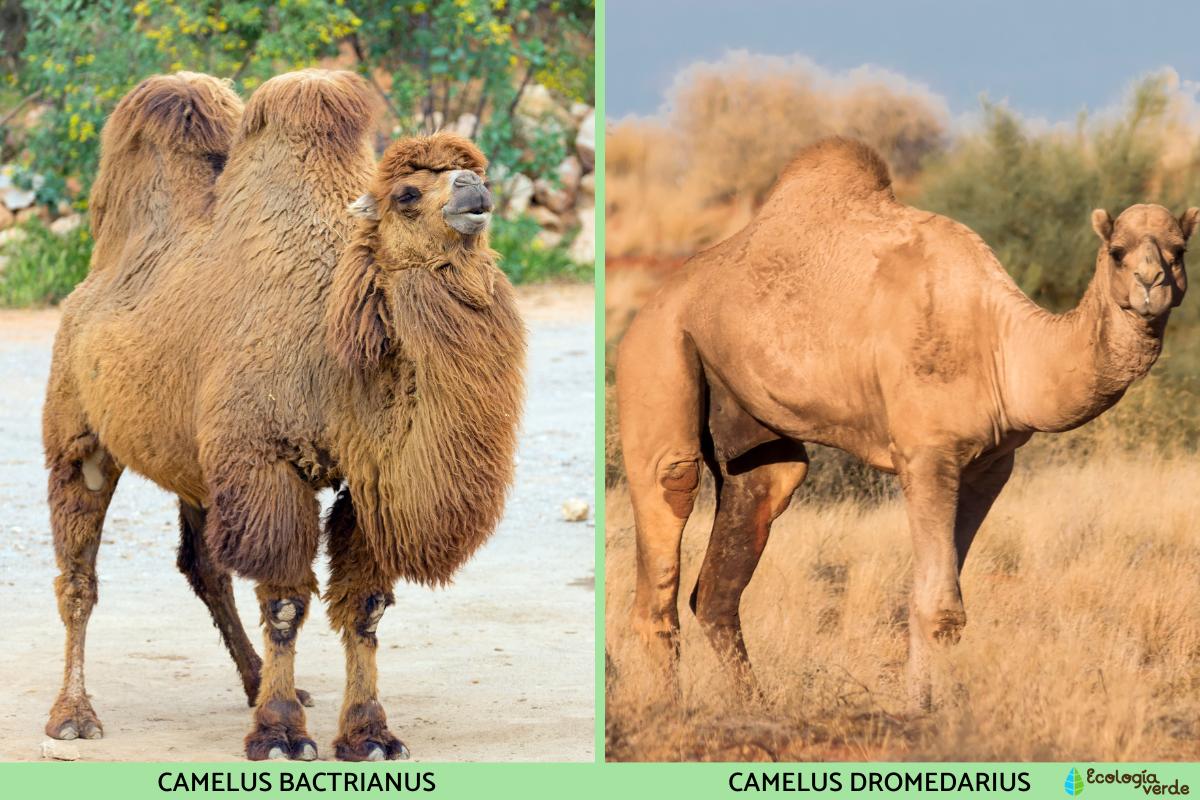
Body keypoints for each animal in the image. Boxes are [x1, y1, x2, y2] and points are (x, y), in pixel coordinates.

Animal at [42, 69, 525, 761]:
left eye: (477, 169)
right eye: (406, 193)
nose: (473, 191)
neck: (342, 348)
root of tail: (93, 283)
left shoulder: (363, 479)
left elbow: (365, 605)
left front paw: (369, 734)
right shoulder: (266, 460)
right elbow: (286, 602)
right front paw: (278, 734)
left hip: (199, 466)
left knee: (205, 569)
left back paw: (260, 684)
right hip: (79, 438)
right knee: (80, 579)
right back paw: (73, 716)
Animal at [616, 137, 1194, 708]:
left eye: (1179, 251)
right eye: (1117, 251)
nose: (1151, 283)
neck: (1000, 344)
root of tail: (650, 304)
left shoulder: (990, 466)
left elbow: (928, 597)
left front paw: (923, 701)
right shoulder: (926, 454)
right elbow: (940, 607)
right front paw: (923, 710)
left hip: (752, 422)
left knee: (745, 529)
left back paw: (756, 709)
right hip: (659, 352)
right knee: (670, 497)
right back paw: (668, 711)